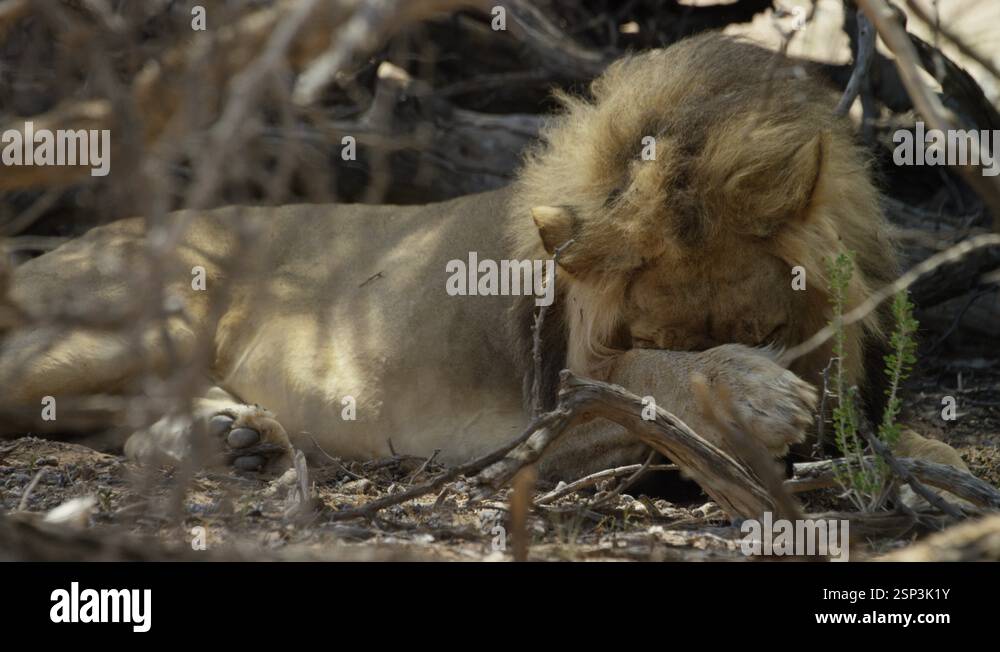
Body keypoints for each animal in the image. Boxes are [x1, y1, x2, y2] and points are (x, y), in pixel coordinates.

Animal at [0, 33, 967, 483]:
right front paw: (756, 397)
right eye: (654, 334)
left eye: (769, 323)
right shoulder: (555, 411)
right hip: (149, 315)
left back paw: (230, 437)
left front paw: (940, 459)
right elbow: (644, 378)